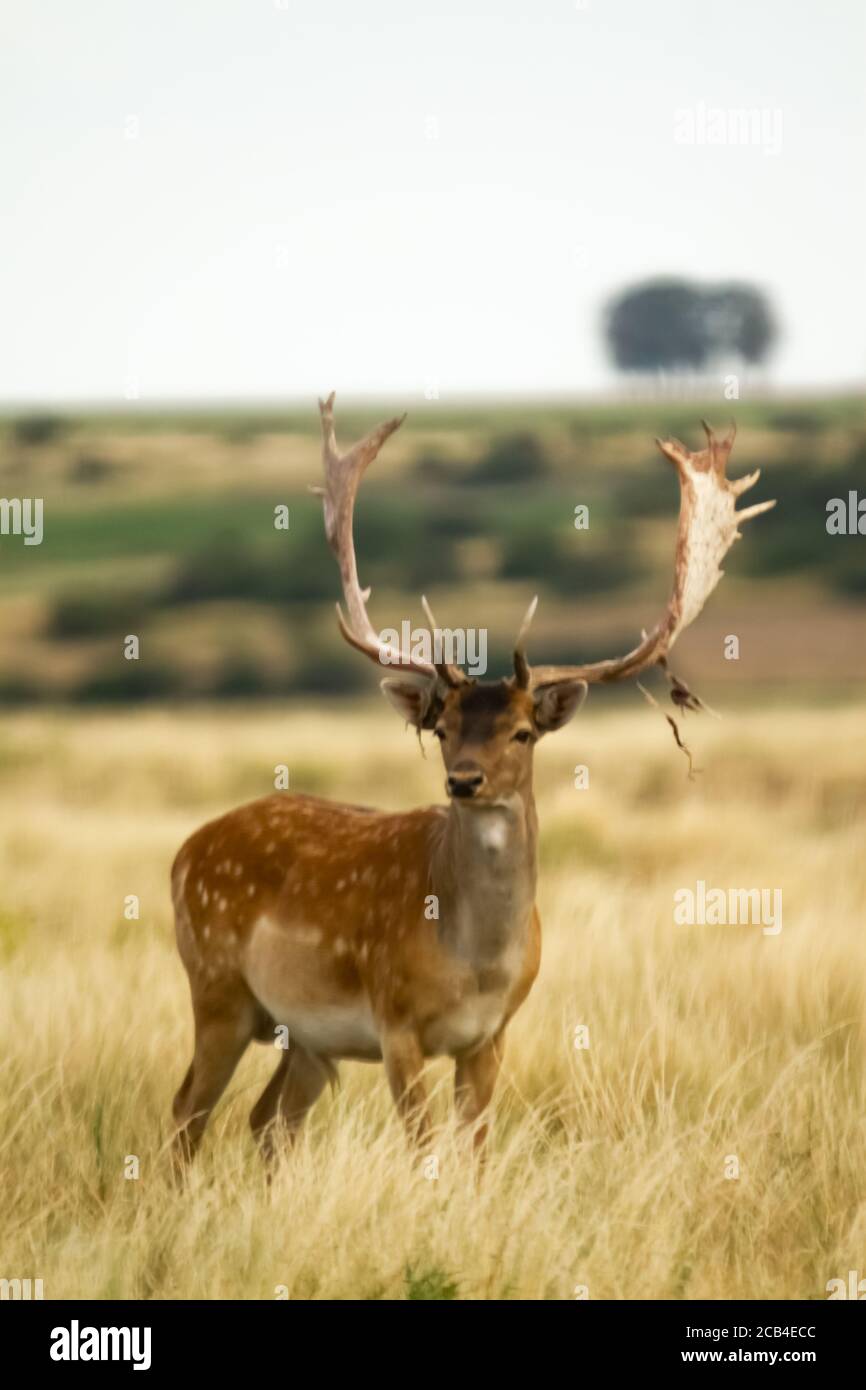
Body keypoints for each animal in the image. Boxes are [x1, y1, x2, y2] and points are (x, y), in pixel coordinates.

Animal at [170, 395, 774, 1169]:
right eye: (442, 727)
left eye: (522, 731)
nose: (463, 781)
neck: (477, 966)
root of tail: (183, 852)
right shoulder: (395, 1023)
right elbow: (425, 1151)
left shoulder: (491, 1036)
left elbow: (476, 1155)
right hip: (217, 988)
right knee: (188, 1111)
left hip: (301, 1033)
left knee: (267, 1119)